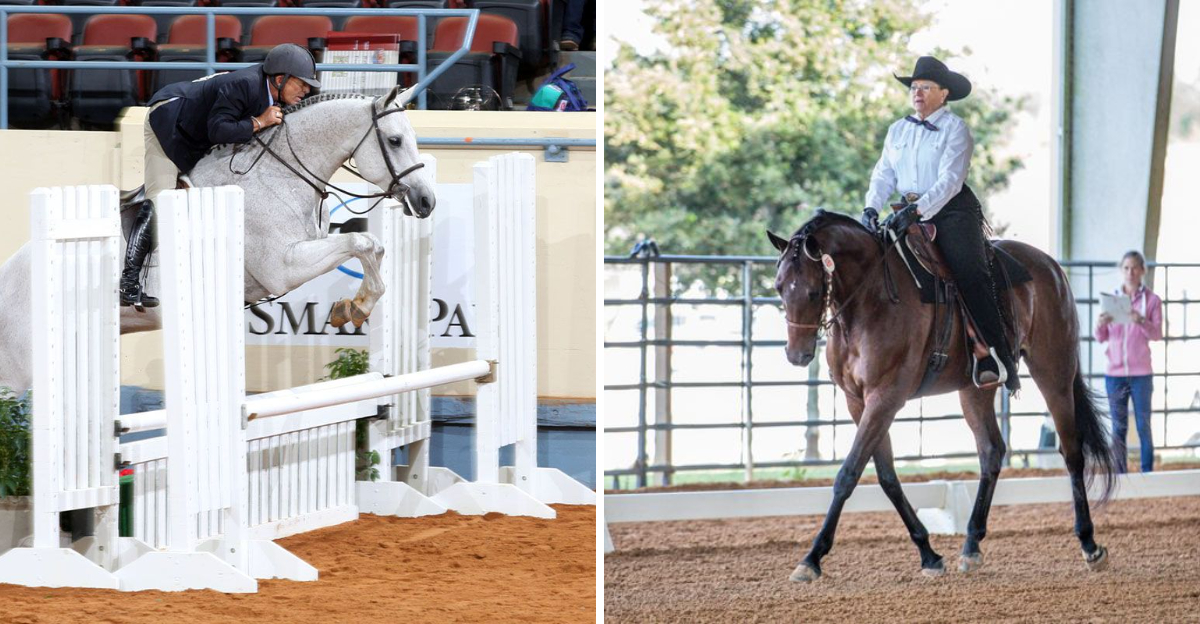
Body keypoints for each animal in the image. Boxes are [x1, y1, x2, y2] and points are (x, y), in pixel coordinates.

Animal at [0, 86, 435, 395]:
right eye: (395, 141)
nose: (426, 201)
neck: (281, 173)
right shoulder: (285, 266)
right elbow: (360, 243)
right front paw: (355, 307)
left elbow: (373, 247)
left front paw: (354, 308)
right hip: (21, 374)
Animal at [766, 210, 1115, 582]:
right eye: (779, 287)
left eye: (814, 291)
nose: (796, 354)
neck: (871, 300)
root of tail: (1051, 266)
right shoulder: (858, 402)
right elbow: (887, 477)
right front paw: (928, 553)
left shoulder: (885, 398)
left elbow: (848, 474)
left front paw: (812, 558)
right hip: (976, 389)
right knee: (991, 452)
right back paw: (971, 546)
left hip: (1054, 372)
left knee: (1072, 452)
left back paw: (1090, 544)